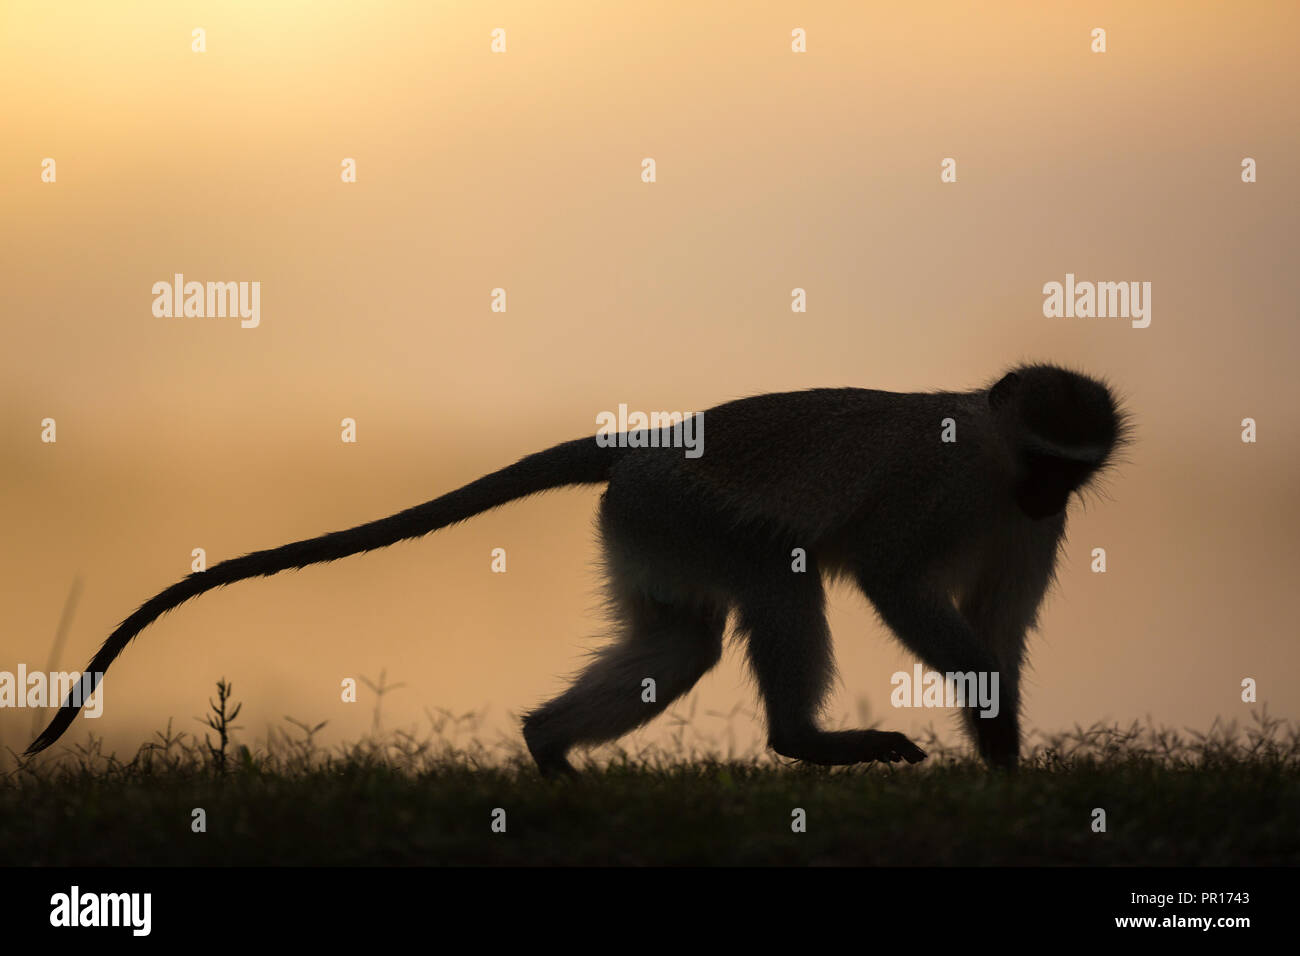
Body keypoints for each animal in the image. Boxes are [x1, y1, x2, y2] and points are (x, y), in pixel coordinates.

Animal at [27, 362, 1129, 775]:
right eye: (1042, 459)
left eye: (1068, 473)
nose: (1045, 497)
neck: (995, 467)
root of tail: (646, 443)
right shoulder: (935, 484)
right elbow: (896, 579)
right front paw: (1001, 740)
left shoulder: (1028, 530)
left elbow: (999, 620)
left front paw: (1003, 754)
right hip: (683, 508)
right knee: (776, 576)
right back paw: (803, 742)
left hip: (647, 527)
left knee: (680, 640)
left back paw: (548, 745)